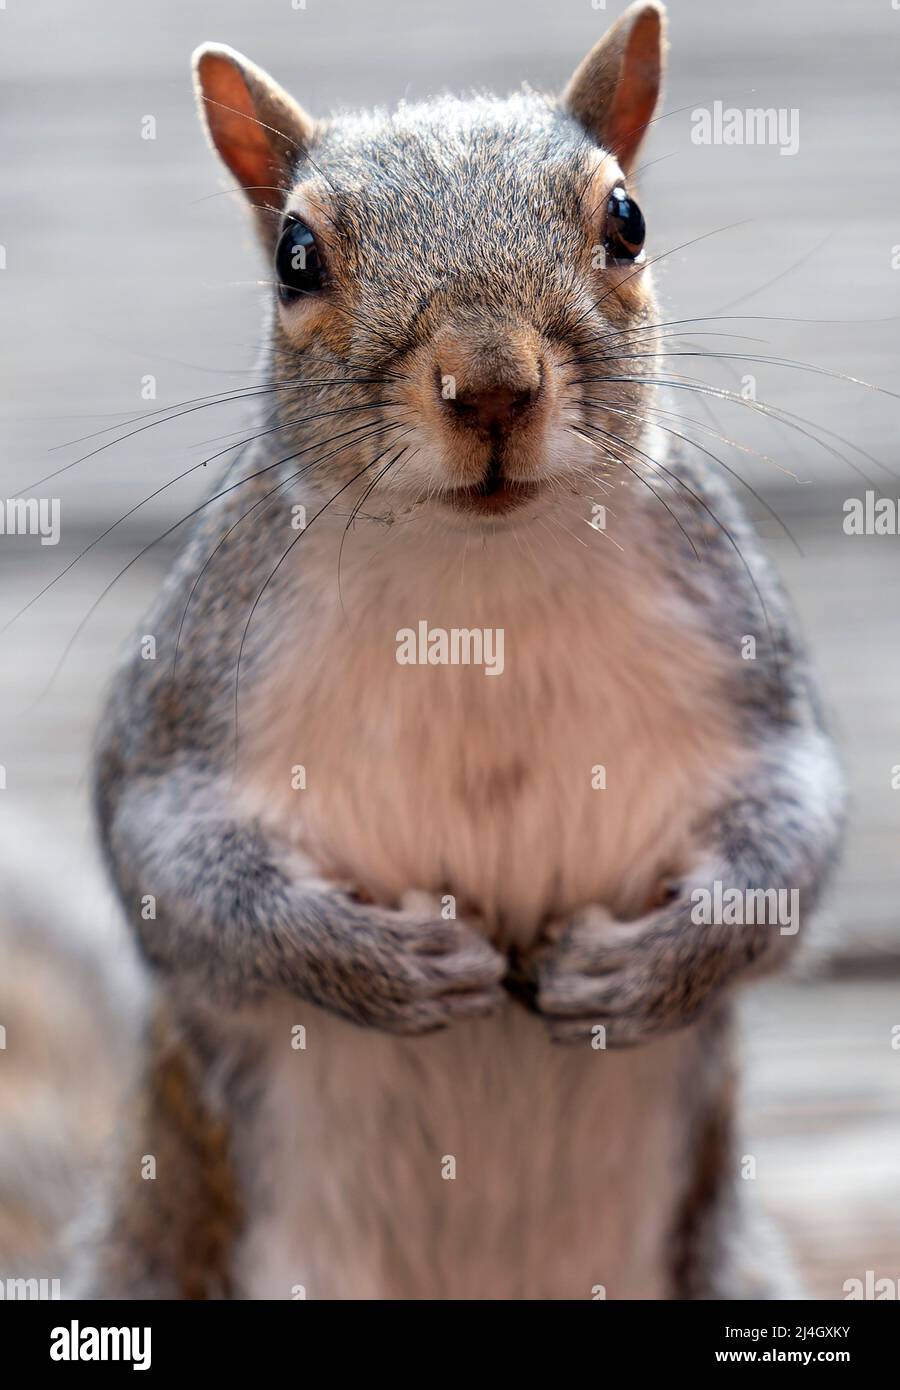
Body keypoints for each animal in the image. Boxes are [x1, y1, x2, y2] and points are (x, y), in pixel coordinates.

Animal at [76, 1, 844, 1299]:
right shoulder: (188, 697)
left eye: (626, 220)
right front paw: (386, 964)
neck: (477, 594)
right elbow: (173, 871)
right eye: (295, 257)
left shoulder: (745, 669)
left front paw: (637, 971)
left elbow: (794, 832)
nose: (491, 386)